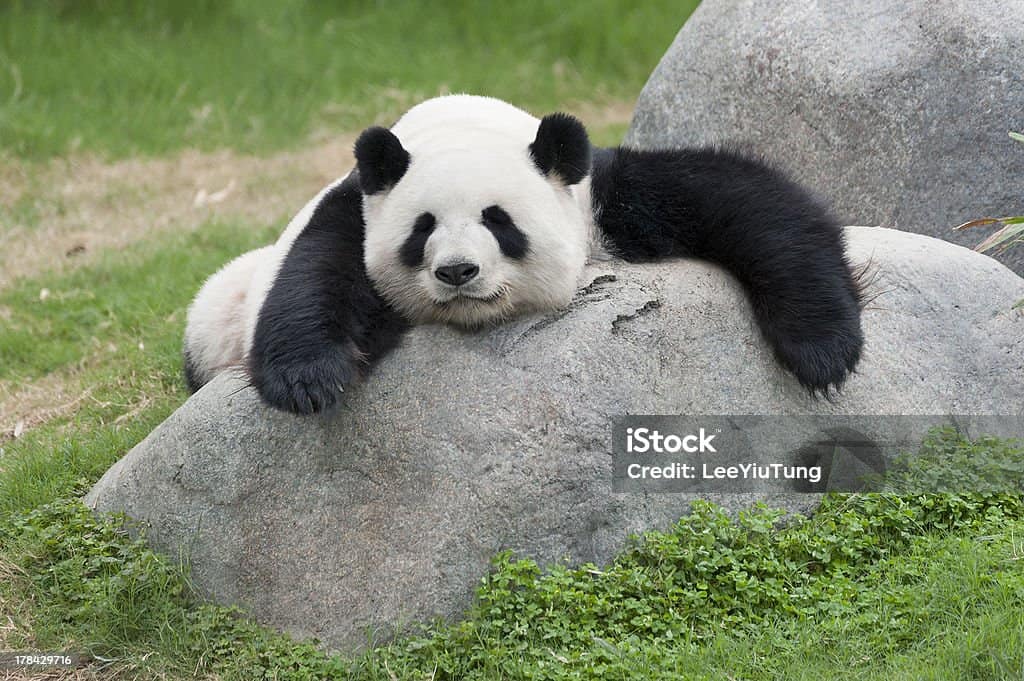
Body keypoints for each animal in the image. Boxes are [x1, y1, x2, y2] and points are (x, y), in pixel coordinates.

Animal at [184, 95, 863, 415]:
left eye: (499, 221)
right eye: (423, 229)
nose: (458, 271)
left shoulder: (600, 197)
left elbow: (745, 200)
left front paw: (822, 350)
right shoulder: (355, 207)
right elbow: (316, 273)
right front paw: (309, 379)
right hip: (218, 315)